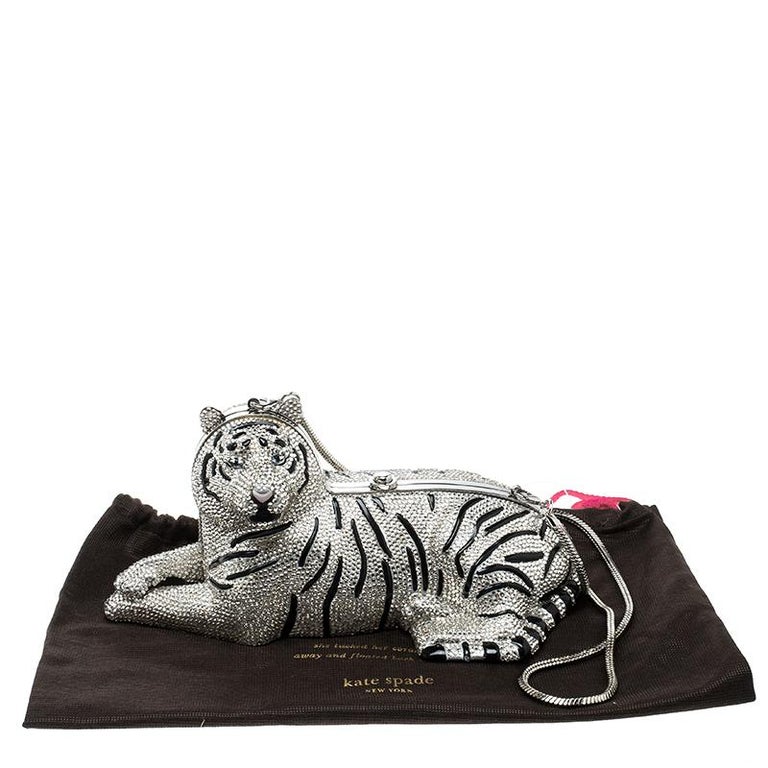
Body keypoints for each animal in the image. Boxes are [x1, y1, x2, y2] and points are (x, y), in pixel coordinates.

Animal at [104, 393, 585, 662]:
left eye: (278, 457)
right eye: (235, 462)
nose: (262, 497)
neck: (230, 527)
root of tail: (551, 520)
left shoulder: (240, 614)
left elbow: (169, 602)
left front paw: (118, 599)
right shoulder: (210, 552)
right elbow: (177, 555)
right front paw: (131, 577)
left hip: (488, 556)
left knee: (504, 622)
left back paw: (433, 618)